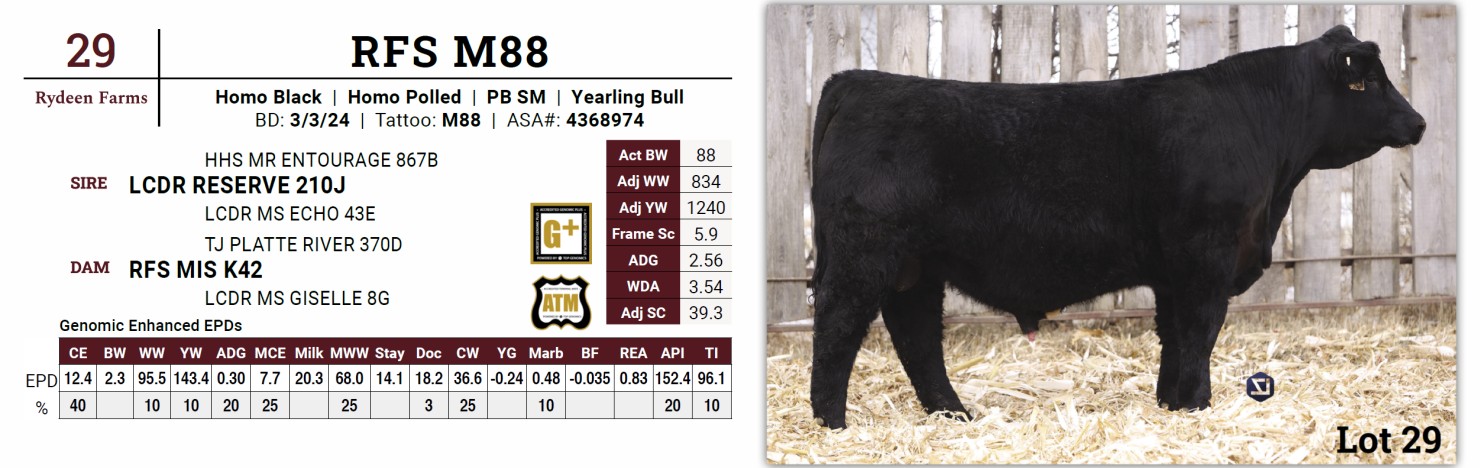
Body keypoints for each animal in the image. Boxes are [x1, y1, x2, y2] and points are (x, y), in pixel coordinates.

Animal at [807, 25, 1425, 429]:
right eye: (1368, 84)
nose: (1418, 122)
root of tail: (860, 80)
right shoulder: (1206, 257)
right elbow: (1200, 331)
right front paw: (1198, 406)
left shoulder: (1175, 270)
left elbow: (1174, 336)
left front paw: (1172, 404)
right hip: (865, 253)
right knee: (838, 327)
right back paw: (831, 421)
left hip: (916, 264)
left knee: (915, 335)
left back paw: (955, 415)